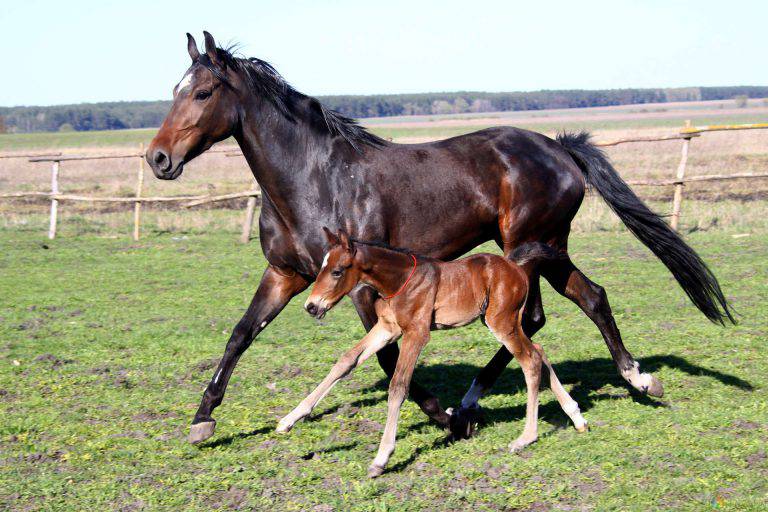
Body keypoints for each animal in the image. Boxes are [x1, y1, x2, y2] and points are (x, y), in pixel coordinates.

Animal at [146, 32, 733, 445]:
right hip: (550, 249)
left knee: (531, 322)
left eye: (202, 92)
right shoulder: (288, 276)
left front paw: (447, 420)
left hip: (524, 247)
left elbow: (386, 358)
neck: (312, 179)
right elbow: (240, 334)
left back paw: (473, 404)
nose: (158, 159)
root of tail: (560, 148)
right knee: (590, 298)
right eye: (174, 91)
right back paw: (638, 379)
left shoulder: (360, 286)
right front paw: (201, 420)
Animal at [277, 229, 588, 477]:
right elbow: (345, 361)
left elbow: (398, 386)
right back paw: (576, 417)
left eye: (337, 271)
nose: (312, 306)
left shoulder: (416, 333)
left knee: (531, 360)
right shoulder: (387, 329)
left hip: (502, 321)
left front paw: (381, 459)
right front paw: (288, 420)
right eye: (321, 268)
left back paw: (526, 437)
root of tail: (515, 266)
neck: (398, 281)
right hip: (504, 322)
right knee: (540, 351)